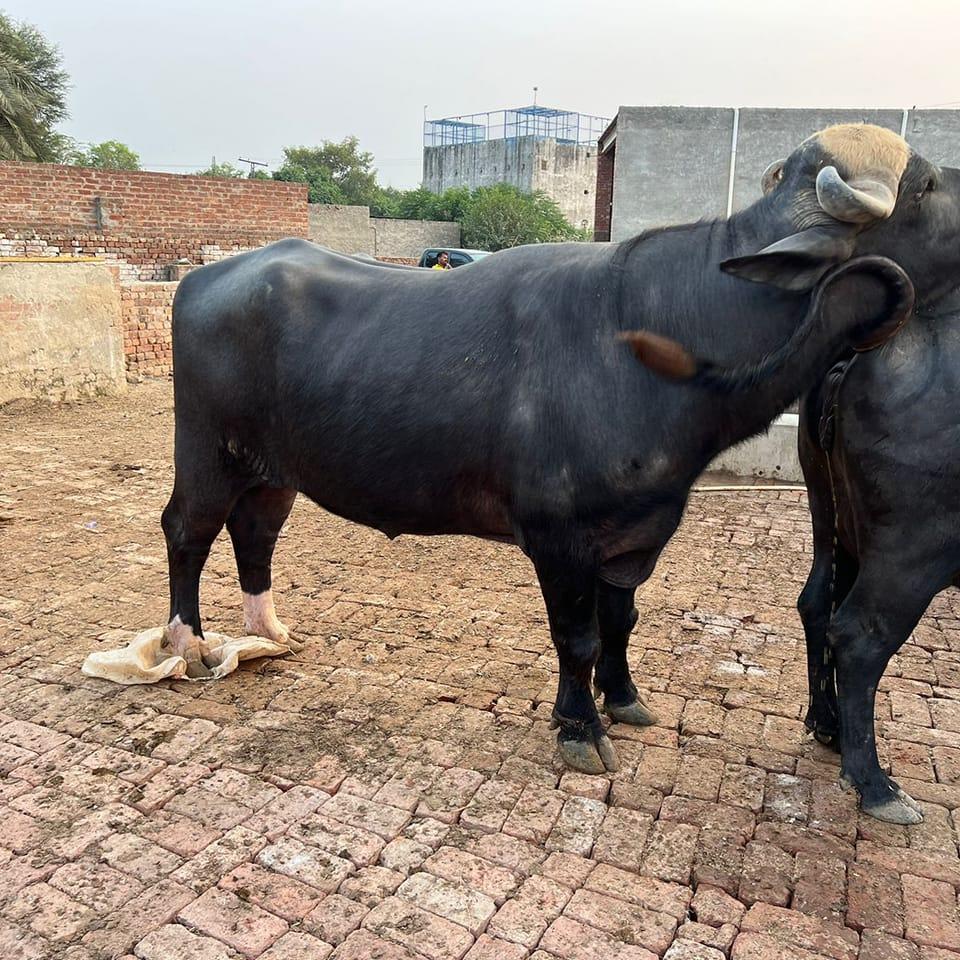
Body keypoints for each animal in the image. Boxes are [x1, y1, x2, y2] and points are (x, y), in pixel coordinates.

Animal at [795, 287, 960, 824]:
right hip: (909, 553)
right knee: (858, 636)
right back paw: (875, 784)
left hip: (830, 511)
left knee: (816, 603)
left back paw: (829, 725)